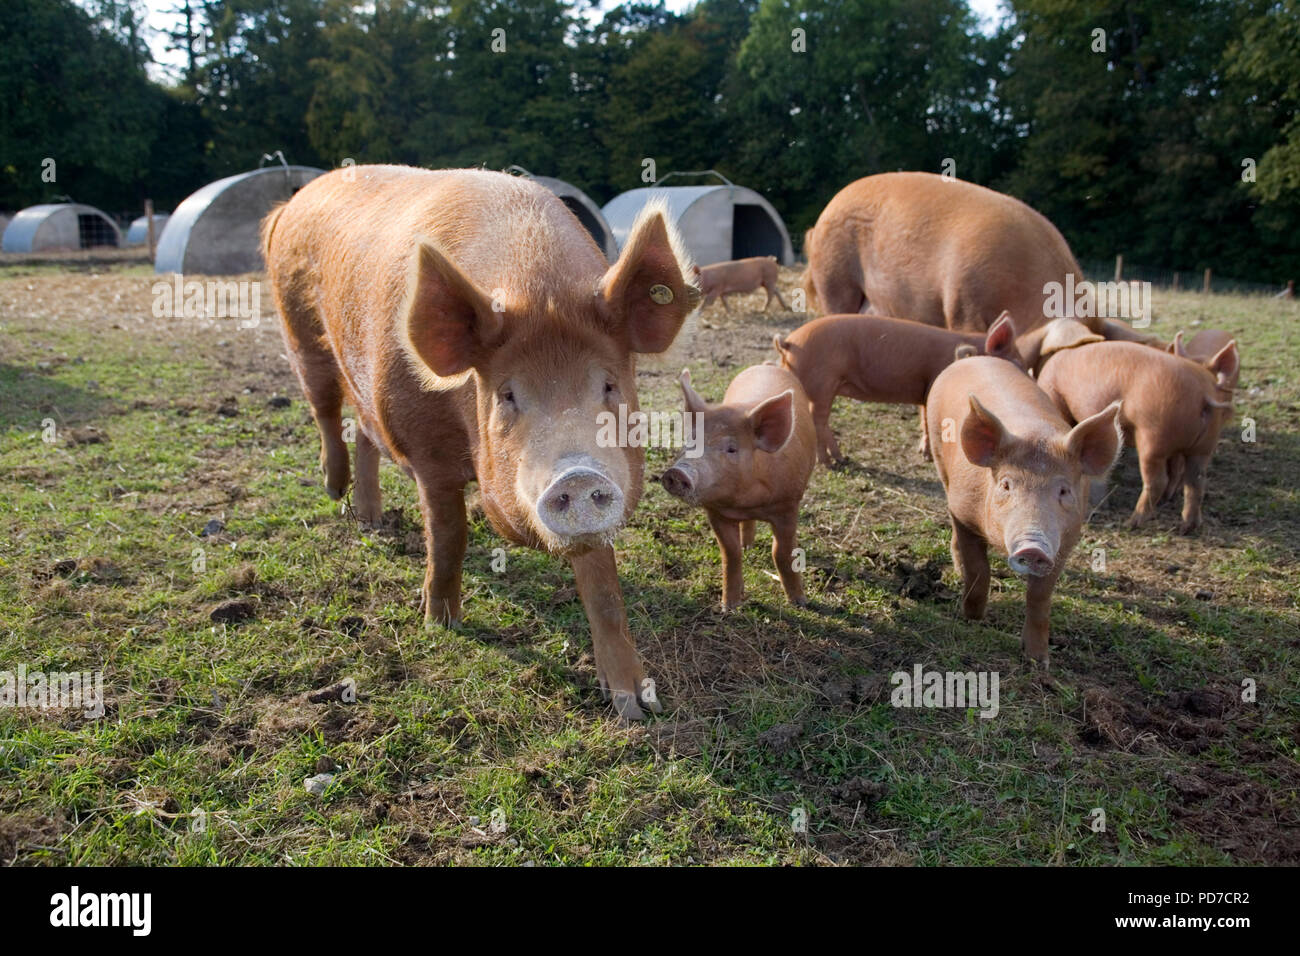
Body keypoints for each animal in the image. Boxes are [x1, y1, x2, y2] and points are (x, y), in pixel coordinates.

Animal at [262, 165, 700, 720]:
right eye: (507, 394)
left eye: (609, 385)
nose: (578, 475)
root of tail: (292, 203)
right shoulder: (428, 453)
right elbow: (449, 532)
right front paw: (439, 622)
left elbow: (602, 585)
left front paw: (636, 706)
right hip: (298, 329)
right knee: (324, 409)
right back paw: (333, 491)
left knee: (363, 430)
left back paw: (371, 519)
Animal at [660, 366, 817, 611]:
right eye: (691, 442)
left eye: (731, 449)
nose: (677, 473)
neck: (745, 502)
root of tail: (766, 365)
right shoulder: (715, 512)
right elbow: (730, 554)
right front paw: (729, 607)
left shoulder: (788, 505)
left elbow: (781, 553)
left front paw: (799, 603)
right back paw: (747, 546)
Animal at [772, 311, 1020, 465]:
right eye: (1016, 363)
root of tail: (789, 342)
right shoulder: (932, 386)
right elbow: (928, 420)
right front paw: (928, 456)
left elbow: (923, 418)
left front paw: (924, 453)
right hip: (823, 385)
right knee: (818, 422)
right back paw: (832, 463)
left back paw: (843, 460)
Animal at [926, 356, 1124, 663]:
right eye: (1006, 485)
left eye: (1064, 491)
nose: (1033, 546)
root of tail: (976, 357)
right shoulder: (964, 514)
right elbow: (978, 569)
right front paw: (972, 618)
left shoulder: (1065, 541)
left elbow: (1040, 596)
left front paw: (1037, 660)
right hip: (939, 457)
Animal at [1036, 340, 1238, 534]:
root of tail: (1203, 394)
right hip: (1204, 446)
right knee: (1196, 481)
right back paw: (1187, 527)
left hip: (1153, 437)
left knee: (1157, 481)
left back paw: (1132, 523)